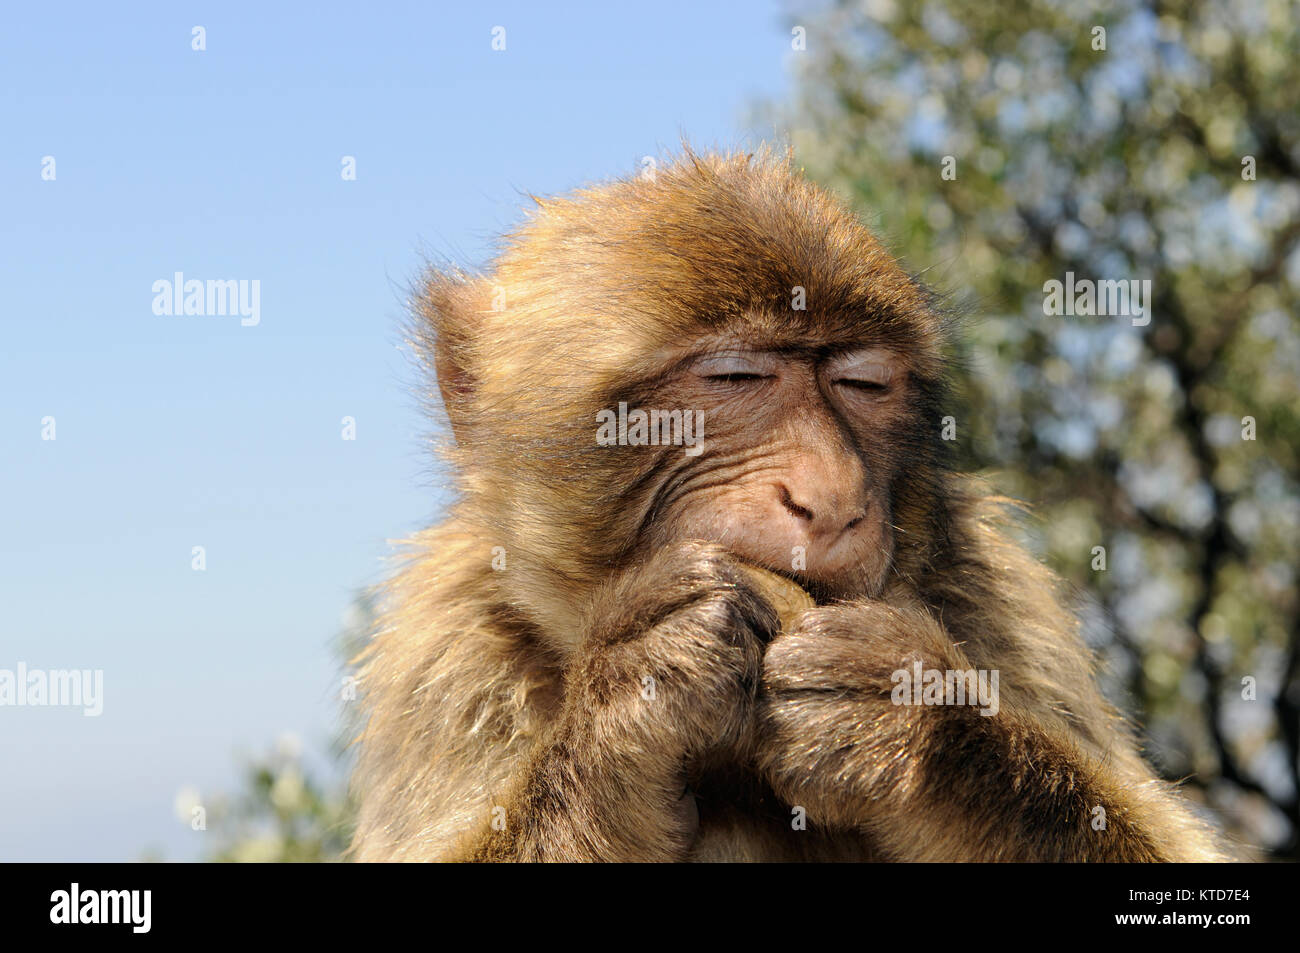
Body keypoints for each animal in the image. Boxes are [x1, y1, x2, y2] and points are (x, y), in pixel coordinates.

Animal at [349, 147, 1228, 862]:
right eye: (735, 375)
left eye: (863, 383)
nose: (832, 499)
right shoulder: (445, 638)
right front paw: (629, 697)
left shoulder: (995, 582)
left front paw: (915, 717)